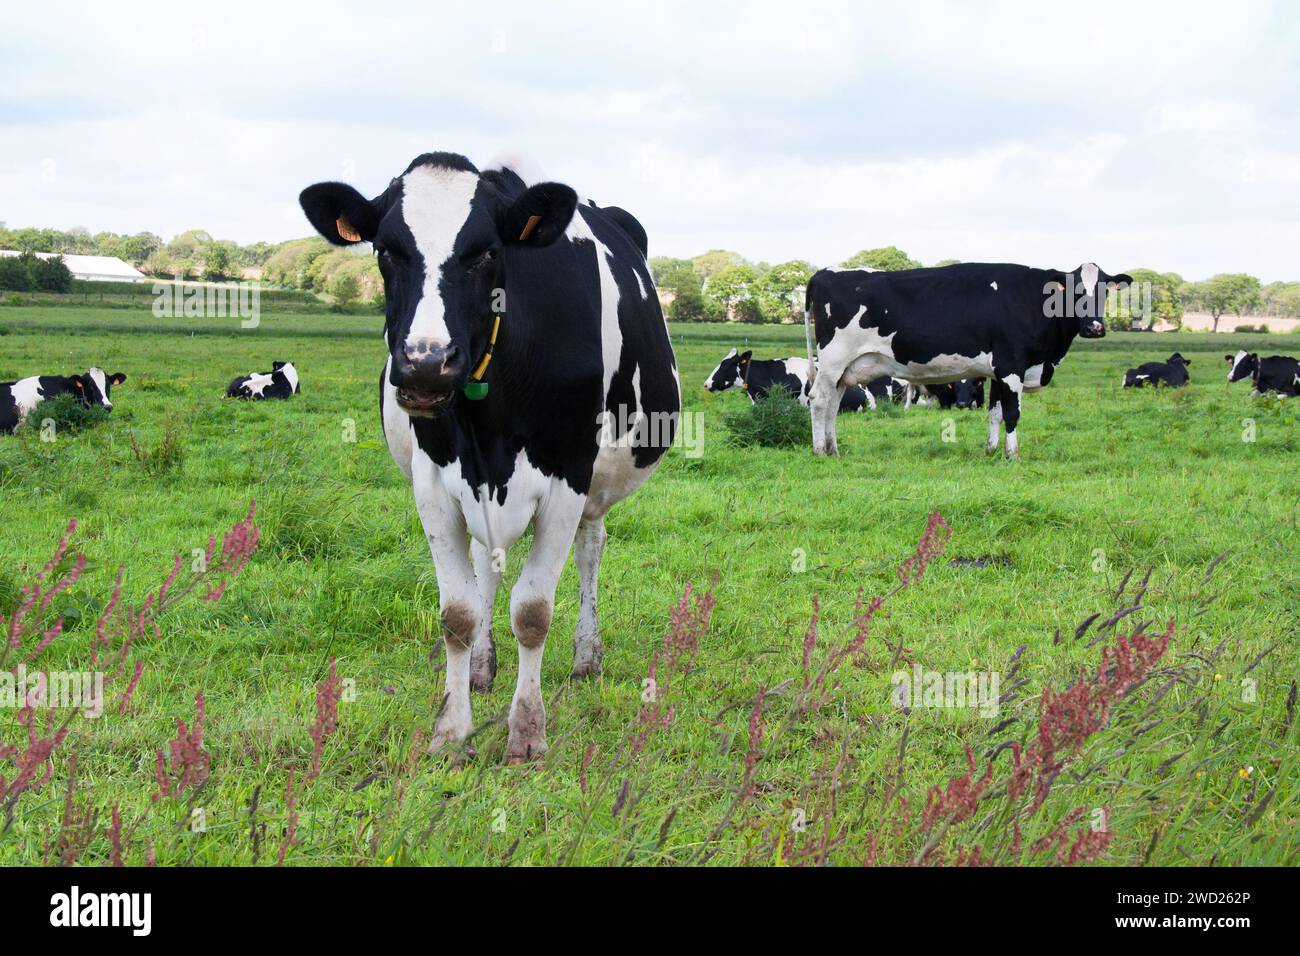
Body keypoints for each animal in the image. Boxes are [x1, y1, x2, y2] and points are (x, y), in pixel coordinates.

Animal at [299, 152, 679, 763]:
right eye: (386, 251)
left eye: (486, 253)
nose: (427, 363)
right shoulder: (433, 482)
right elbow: (459, 611)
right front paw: (452, 731)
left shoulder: (569, 477)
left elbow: (533, 610)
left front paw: (526, 732)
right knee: (486, 564)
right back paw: (481, 666)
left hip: (597, 484)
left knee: (590, 548)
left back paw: (586, 656)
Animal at [805, 262, 1131, 458]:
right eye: (1076, 291)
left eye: (1104, 291)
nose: (1094, 327)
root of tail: (824, 272)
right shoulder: (1011, 365)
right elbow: (1012, 413)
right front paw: (1013, 455)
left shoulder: (998, 371)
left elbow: (995, 413)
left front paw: (991, 450)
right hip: (833, 360)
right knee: (819, 401)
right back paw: (820, 450)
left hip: (844, 370)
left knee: (833, 404)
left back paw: (833, 449)